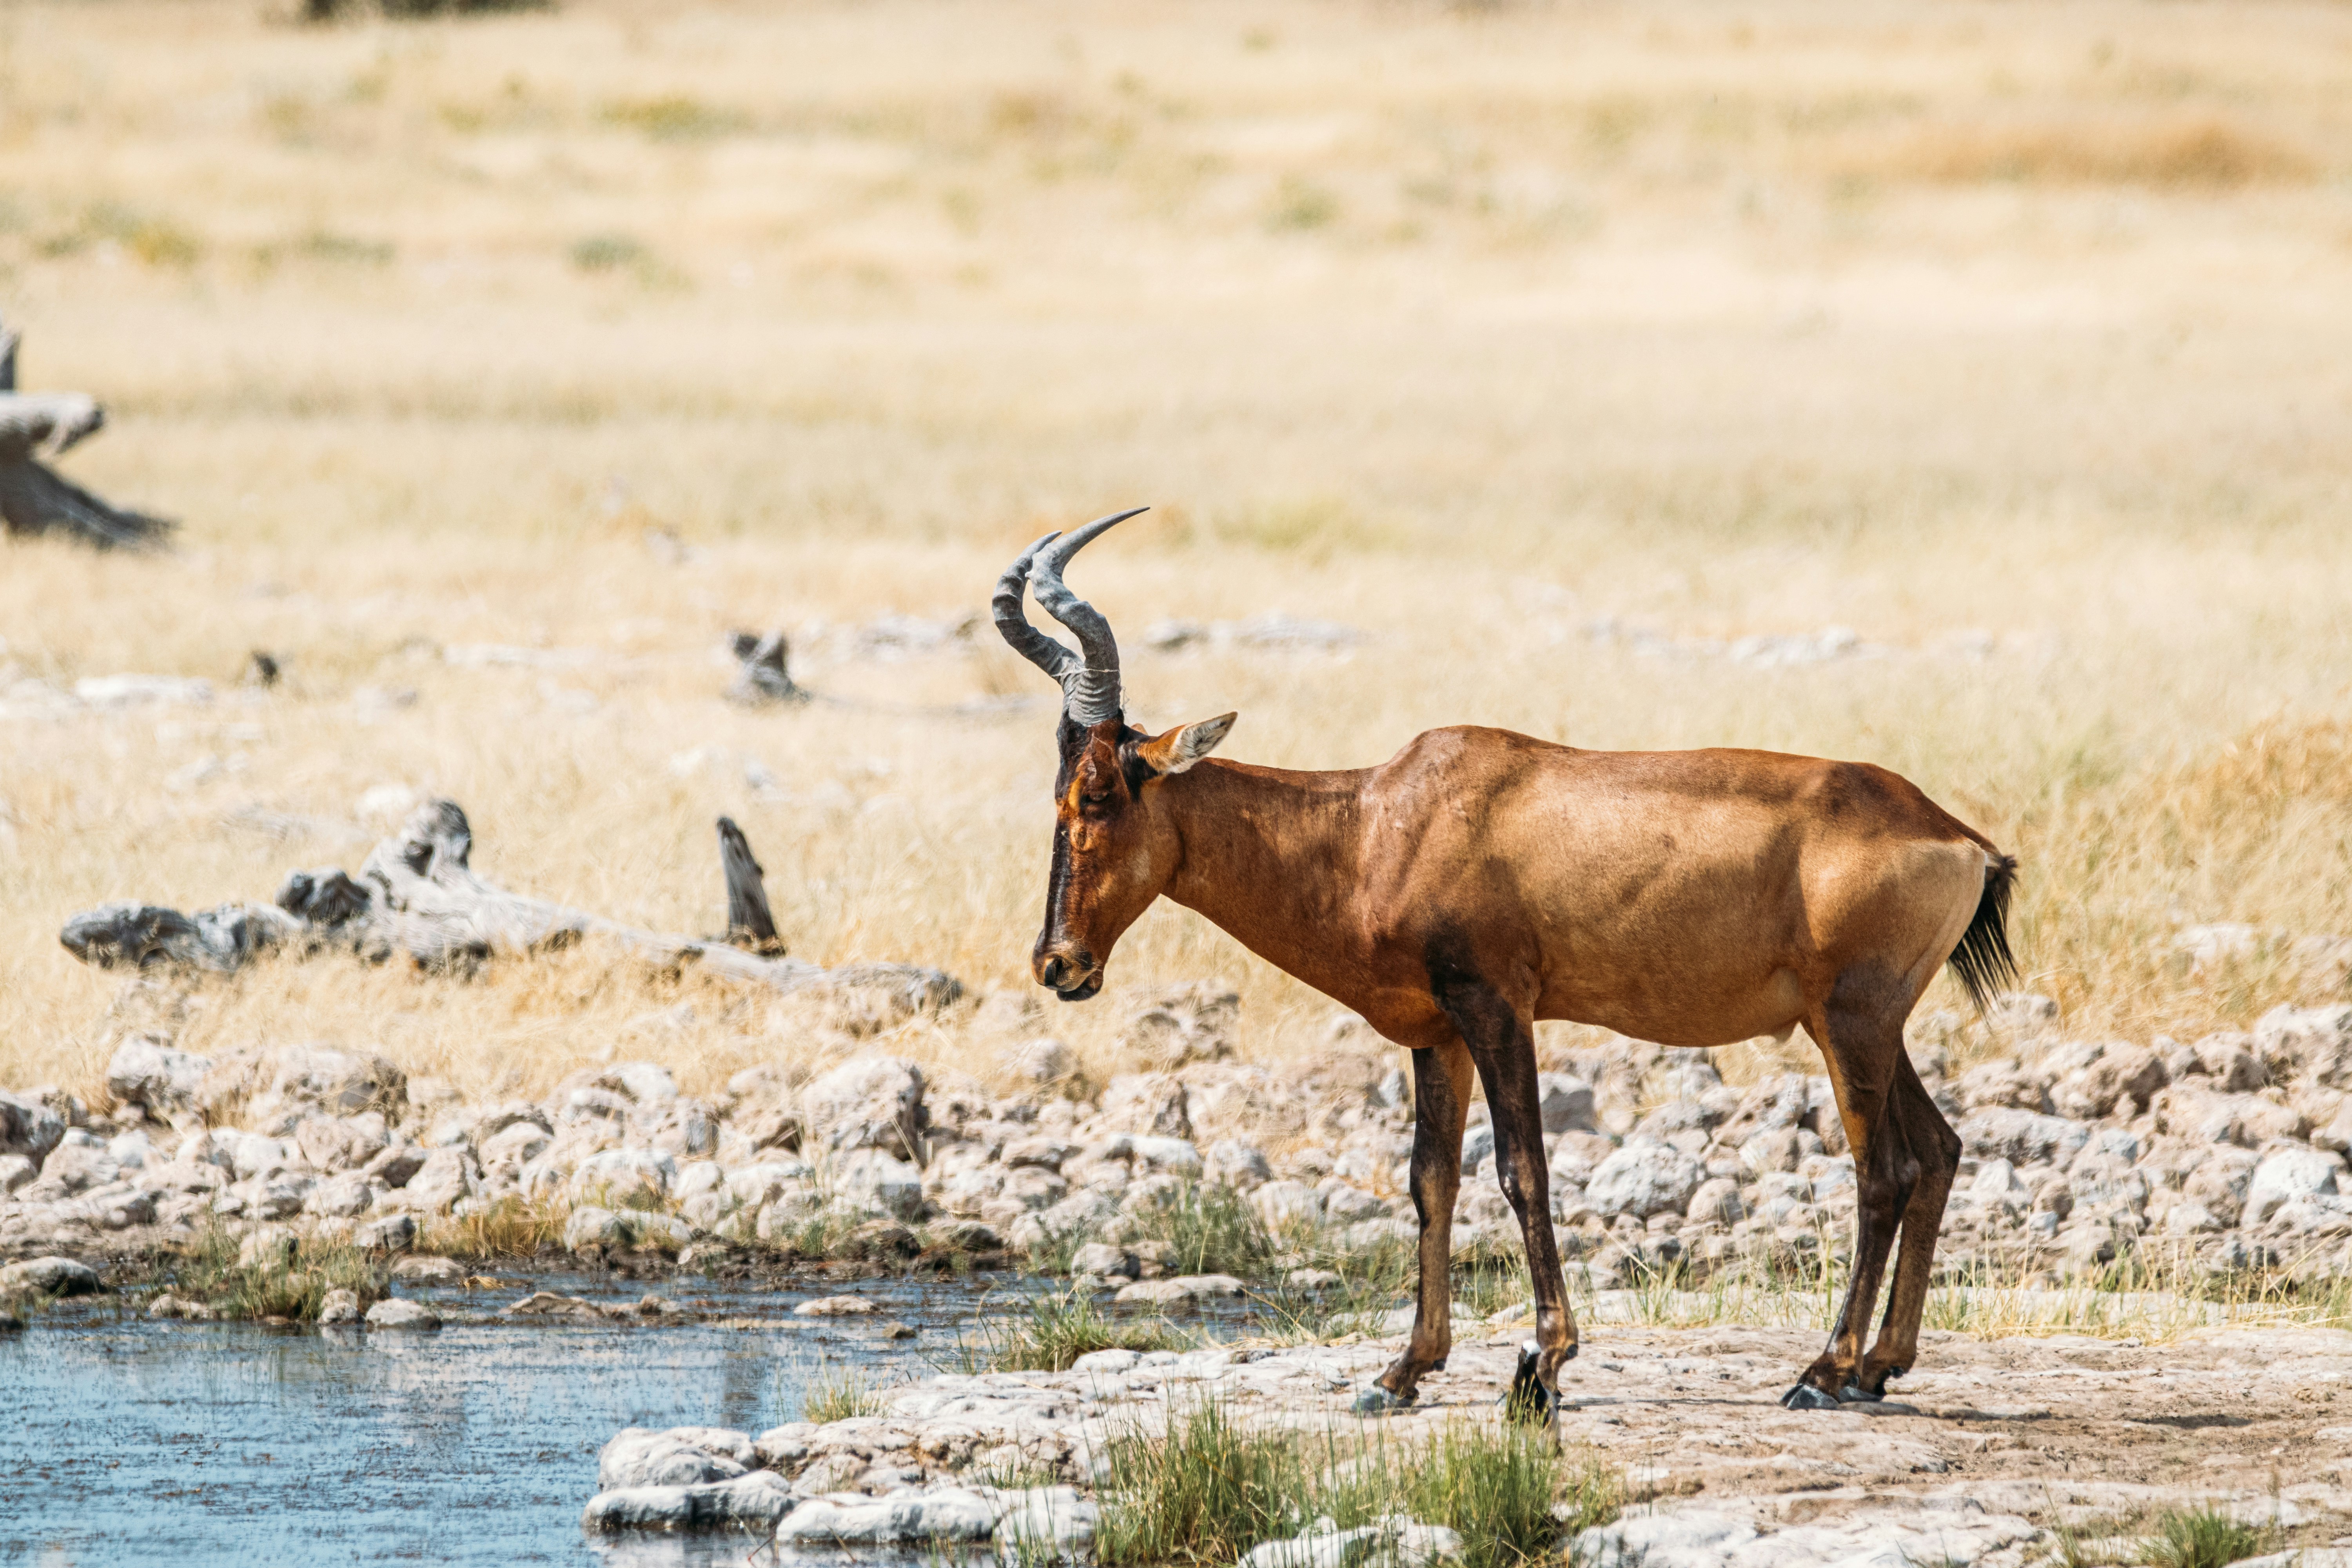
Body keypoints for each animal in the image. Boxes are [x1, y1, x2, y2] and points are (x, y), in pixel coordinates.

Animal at [992, 508, 2019, 1422]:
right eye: (1056, 789)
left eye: (1099, 789)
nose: (1059, 963)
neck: (1379, 819)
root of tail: (1960, 837)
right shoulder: (1434, 1031)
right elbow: (1429, 1181)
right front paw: (1401, 1372)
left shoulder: (1498, 1005)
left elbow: (1524, 1169)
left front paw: (1541, 1365)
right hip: (1866, 1024)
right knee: (1938, 1150)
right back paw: (1880, 1366)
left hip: (1849, 1023)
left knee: (1883, 1168)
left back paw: (1821, 1371)